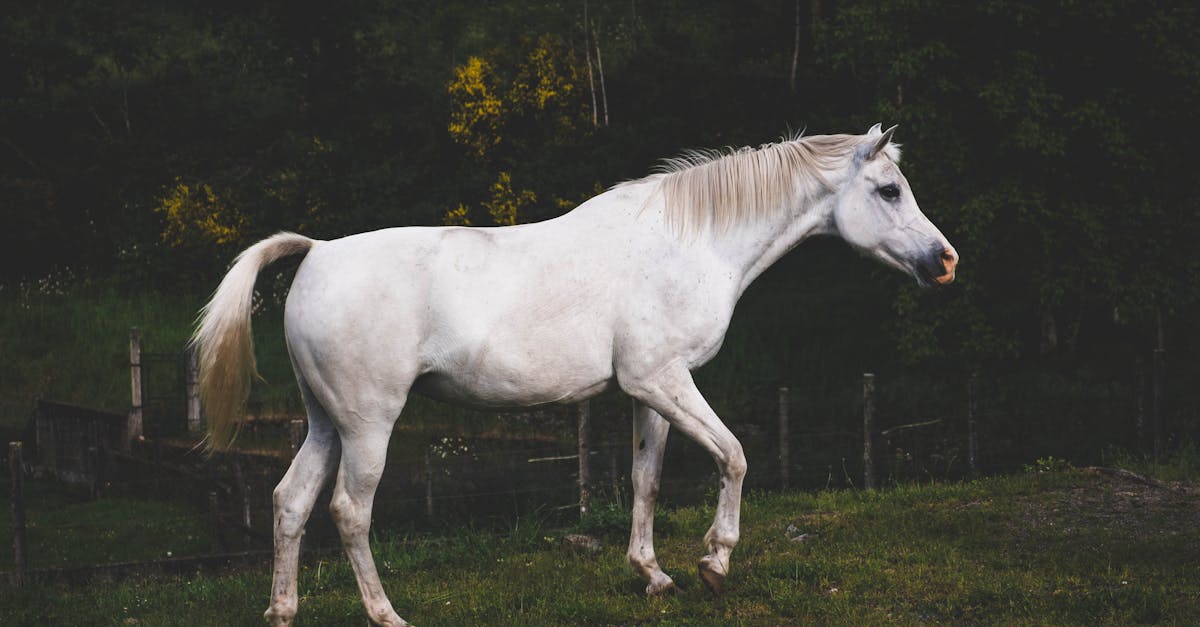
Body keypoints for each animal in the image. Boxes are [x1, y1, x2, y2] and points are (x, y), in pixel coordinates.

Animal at [199, 124, 955, 619]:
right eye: (889, 189)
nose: (945, 261)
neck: (688, 242)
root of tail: (316, 253)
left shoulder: (650, 392)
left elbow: (646, 479)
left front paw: (653, 574)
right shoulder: (663, 381)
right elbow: (735, 456)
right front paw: (715, 562)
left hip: (325, 423)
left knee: (290, 501)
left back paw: (283, 609)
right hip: (368, 425)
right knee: (349, 512)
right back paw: (386, 613)